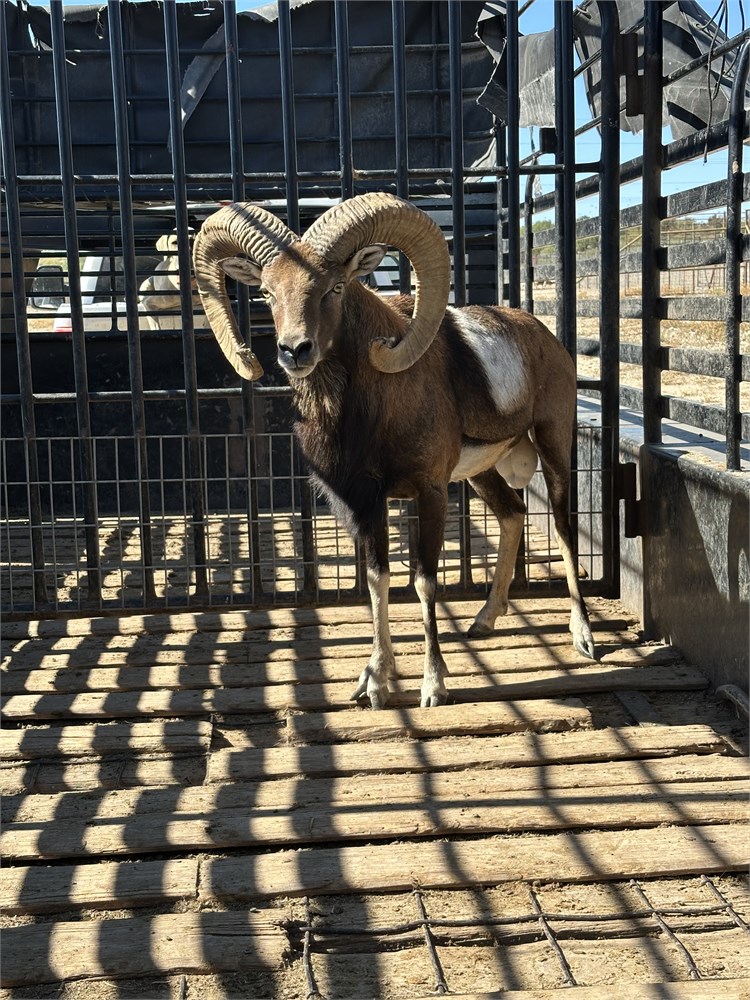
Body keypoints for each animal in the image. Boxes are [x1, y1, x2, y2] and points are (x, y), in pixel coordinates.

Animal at [193, 192, 595, 709]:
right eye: (266, 292)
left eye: (336, 286)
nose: (294, 351)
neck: (367, 415)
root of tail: (548, 340)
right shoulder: (363, 503)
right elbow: (377, 580)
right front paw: (373, 683)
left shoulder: (430, 491)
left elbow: (423, 581)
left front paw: (433, 686)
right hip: (480, 474)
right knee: (512, 515)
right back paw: (484, 621)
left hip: (553, 443)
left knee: (563, 529)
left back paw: (583, 638)